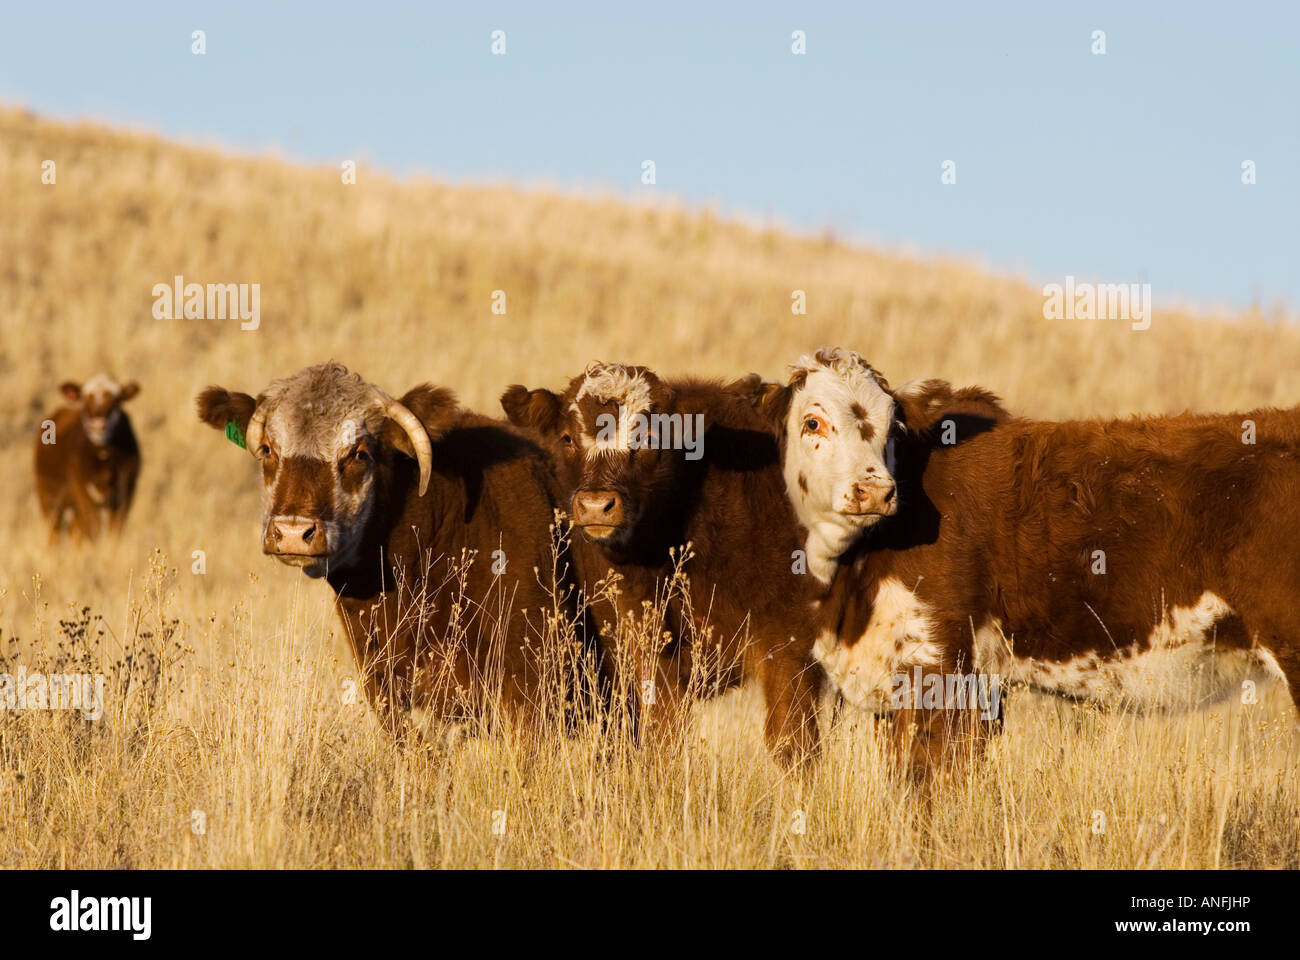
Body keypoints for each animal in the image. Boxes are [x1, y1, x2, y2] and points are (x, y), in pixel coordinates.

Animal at [34, 374, 142, 541]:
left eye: (116, 400)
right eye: (86, 399)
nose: (97, 424)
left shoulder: (127, 490)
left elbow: (115, 529)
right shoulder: (81, 490)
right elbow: (93, 525)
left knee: (75, 531)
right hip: (48, 498)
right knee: (56, 531)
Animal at [501, 362, 823, 767]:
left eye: (650, 437)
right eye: (567, 437)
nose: (596, 506)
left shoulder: (789, 649)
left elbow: (793, 744)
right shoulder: (649, 654)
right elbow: (664, 738)